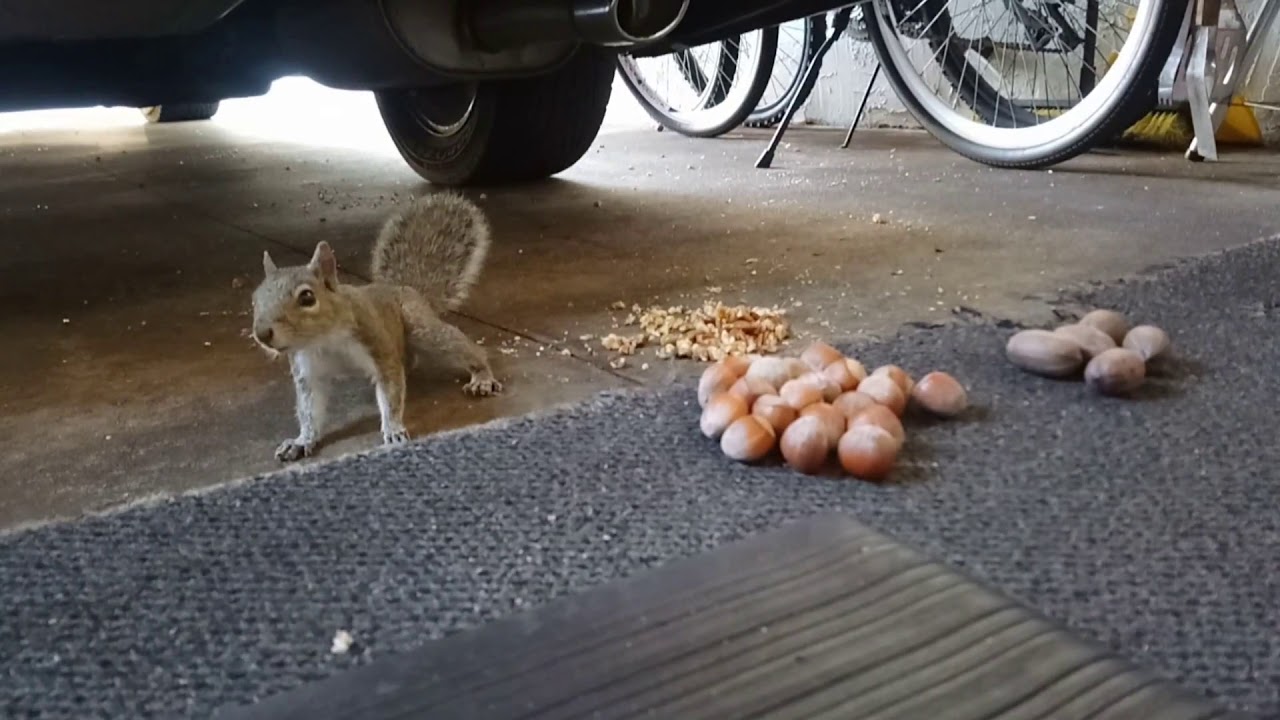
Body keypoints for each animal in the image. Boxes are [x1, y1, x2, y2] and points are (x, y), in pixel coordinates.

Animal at [251, 192, 502, 462]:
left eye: (307, 297)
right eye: (254, 299)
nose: (262, 334)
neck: (323, 340)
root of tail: (403, 288)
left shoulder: (377, 343)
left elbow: (390, 391)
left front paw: (393, 429)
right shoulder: (307, 371)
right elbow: (309, 409)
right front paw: (301, 440)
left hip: (421, 327)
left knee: (462, 347)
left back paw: (482, 376)